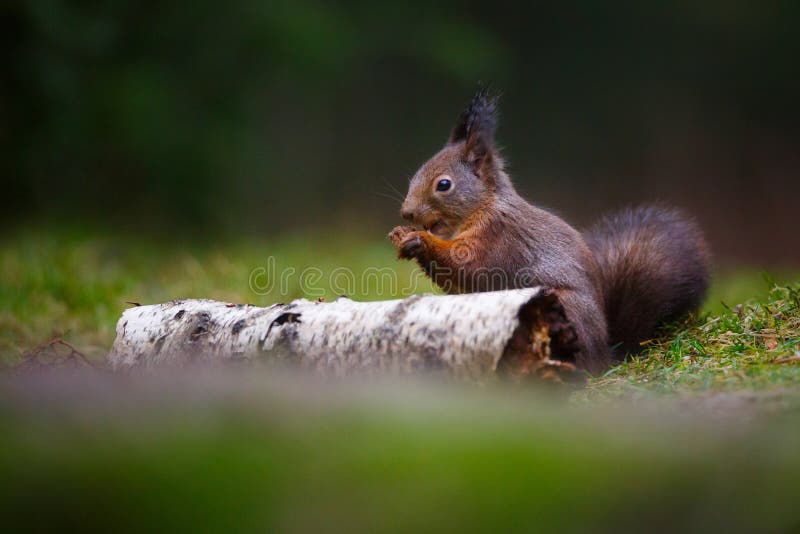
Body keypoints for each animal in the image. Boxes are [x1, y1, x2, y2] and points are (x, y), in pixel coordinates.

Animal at [388, 89, 710, 373]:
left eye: (444, 184)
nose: (407, 212)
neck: (482, 207)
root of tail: (605, 355)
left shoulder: (499, 236)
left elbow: (469, 264)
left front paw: (419, 239)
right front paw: (403, 237)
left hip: (561, 309)